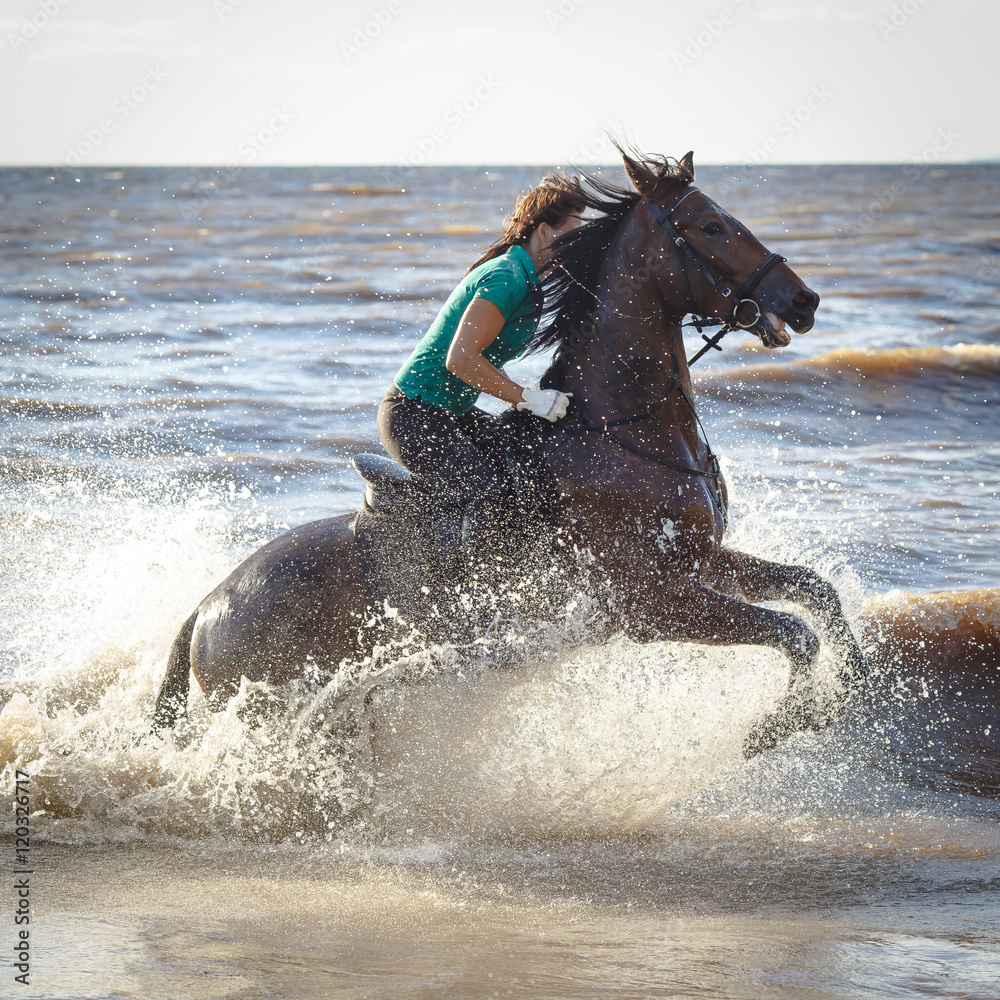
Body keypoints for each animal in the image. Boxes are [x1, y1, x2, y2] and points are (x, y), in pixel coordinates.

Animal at [152, 147, 866, 757]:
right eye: (712, 226)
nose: (803, 300)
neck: (621, 437)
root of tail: (206, 610)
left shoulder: (702, 563)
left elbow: (817, 592)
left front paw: (849, 690)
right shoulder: (655, 602)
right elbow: (794, 631)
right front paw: (780, 725)